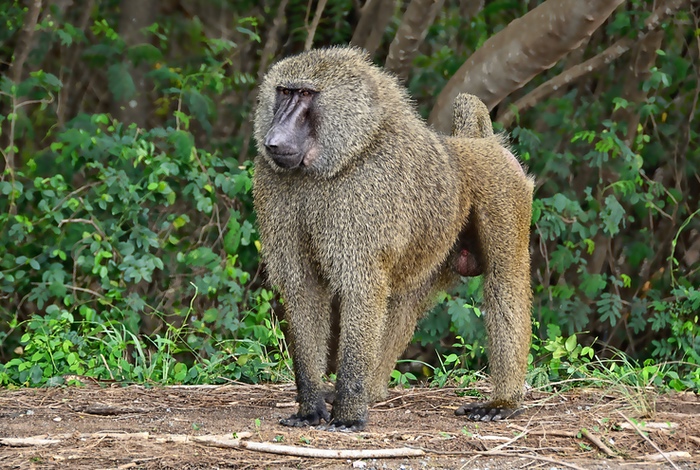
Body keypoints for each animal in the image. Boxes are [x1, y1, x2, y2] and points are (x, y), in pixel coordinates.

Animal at [252, 47, 534, 430]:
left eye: (307, 94)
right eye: (284, 92)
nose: (274, 140)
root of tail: (477, 145)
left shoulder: (366, 191)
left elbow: (360, 287)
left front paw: (348, 415)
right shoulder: (274, 186)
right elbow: (302, 286)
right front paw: (311, 408)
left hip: (504, 189)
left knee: (505, 280)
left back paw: (503, 402)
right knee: (405, 300)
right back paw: (373, 391)